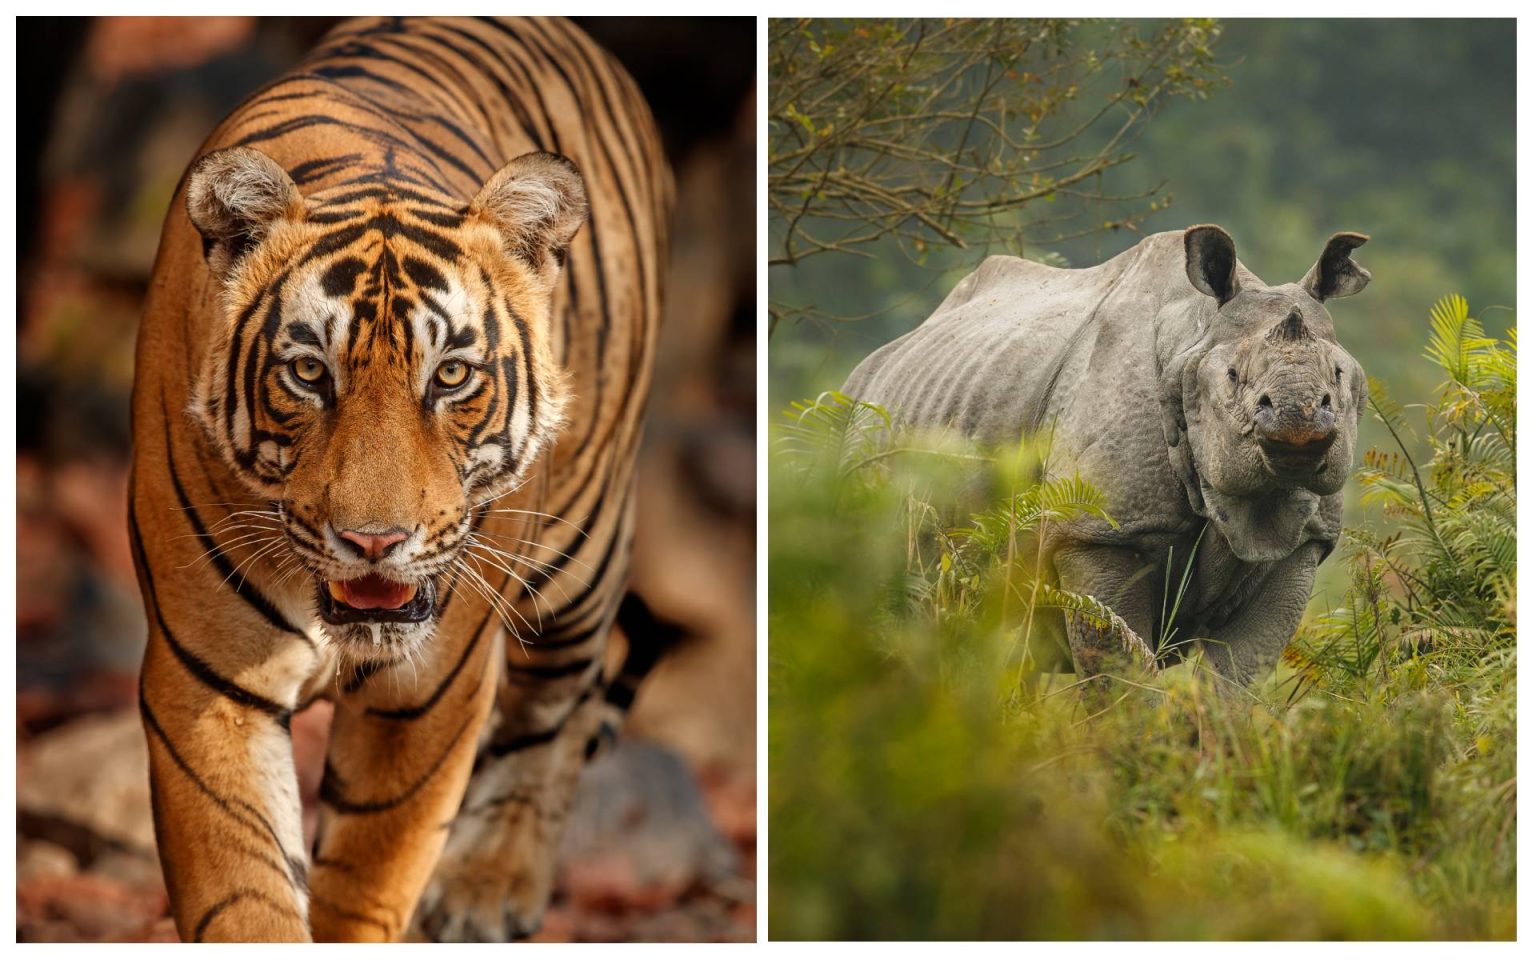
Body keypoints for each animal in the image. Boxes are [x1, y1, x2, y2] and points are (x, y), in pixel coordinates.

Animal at [128, 16, 673, 942]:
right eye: (309, 373)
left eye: (449, 376)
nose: (375, 541)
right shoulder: (208, 683)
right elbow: (245, 894)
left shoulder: (427, 695)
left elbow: (367, 888)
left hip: (583, 552)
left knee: (556, 709)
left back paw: (488, 887)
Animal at [843, 226, 1370, 684]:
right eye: (1233, 376)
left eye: (1339, 375)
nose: (1298, 418)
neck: (1192, 340)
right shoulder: (1100, 533)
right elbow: (1120, 677)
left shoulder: (1303, 544)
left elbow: (1235, 679)